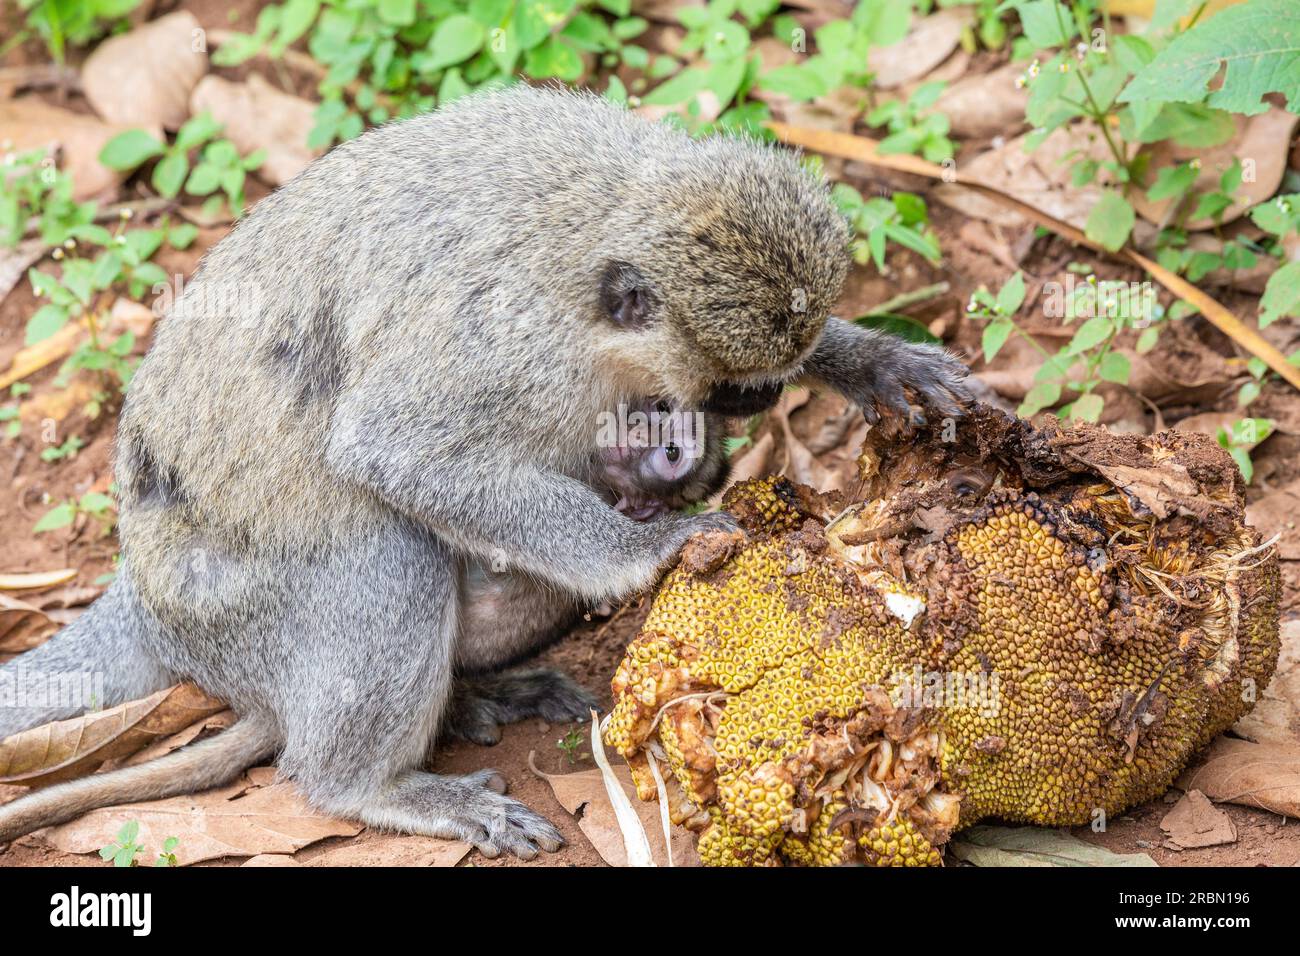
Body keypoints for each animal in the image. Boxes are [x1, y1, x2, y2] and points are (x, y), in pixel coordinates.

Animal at [0, 85, 966, 857]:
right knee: (386, 553)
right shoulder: (509, 338)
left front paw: (870, 360)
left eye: (758, 384)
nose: (756, 403)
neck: (601, 211)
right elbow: (394, 448)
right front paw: (647, 552)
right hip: (227, 603)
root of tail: (144, 596)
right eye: (731, 389)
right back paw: (369, 787)